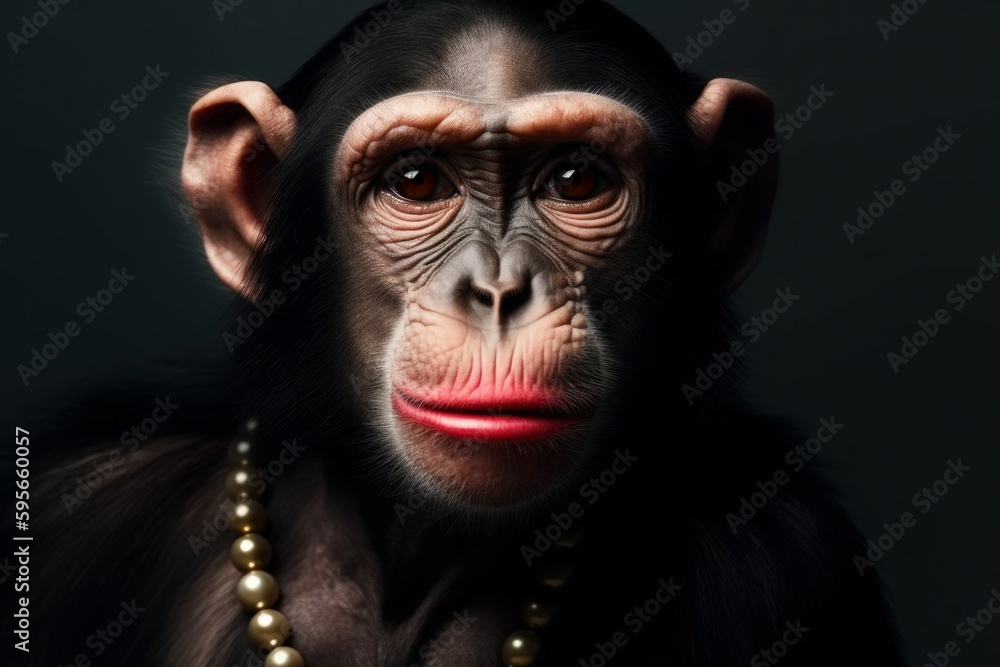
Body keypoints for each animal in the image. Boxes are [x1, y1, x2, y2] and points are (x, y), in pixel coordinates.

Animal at [10, 1, 903, 665]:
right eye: (416, 180)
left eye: (577, 178)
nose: (499, 291)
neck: (403, 565)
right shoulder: (75, 496)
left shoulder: (791, 566)